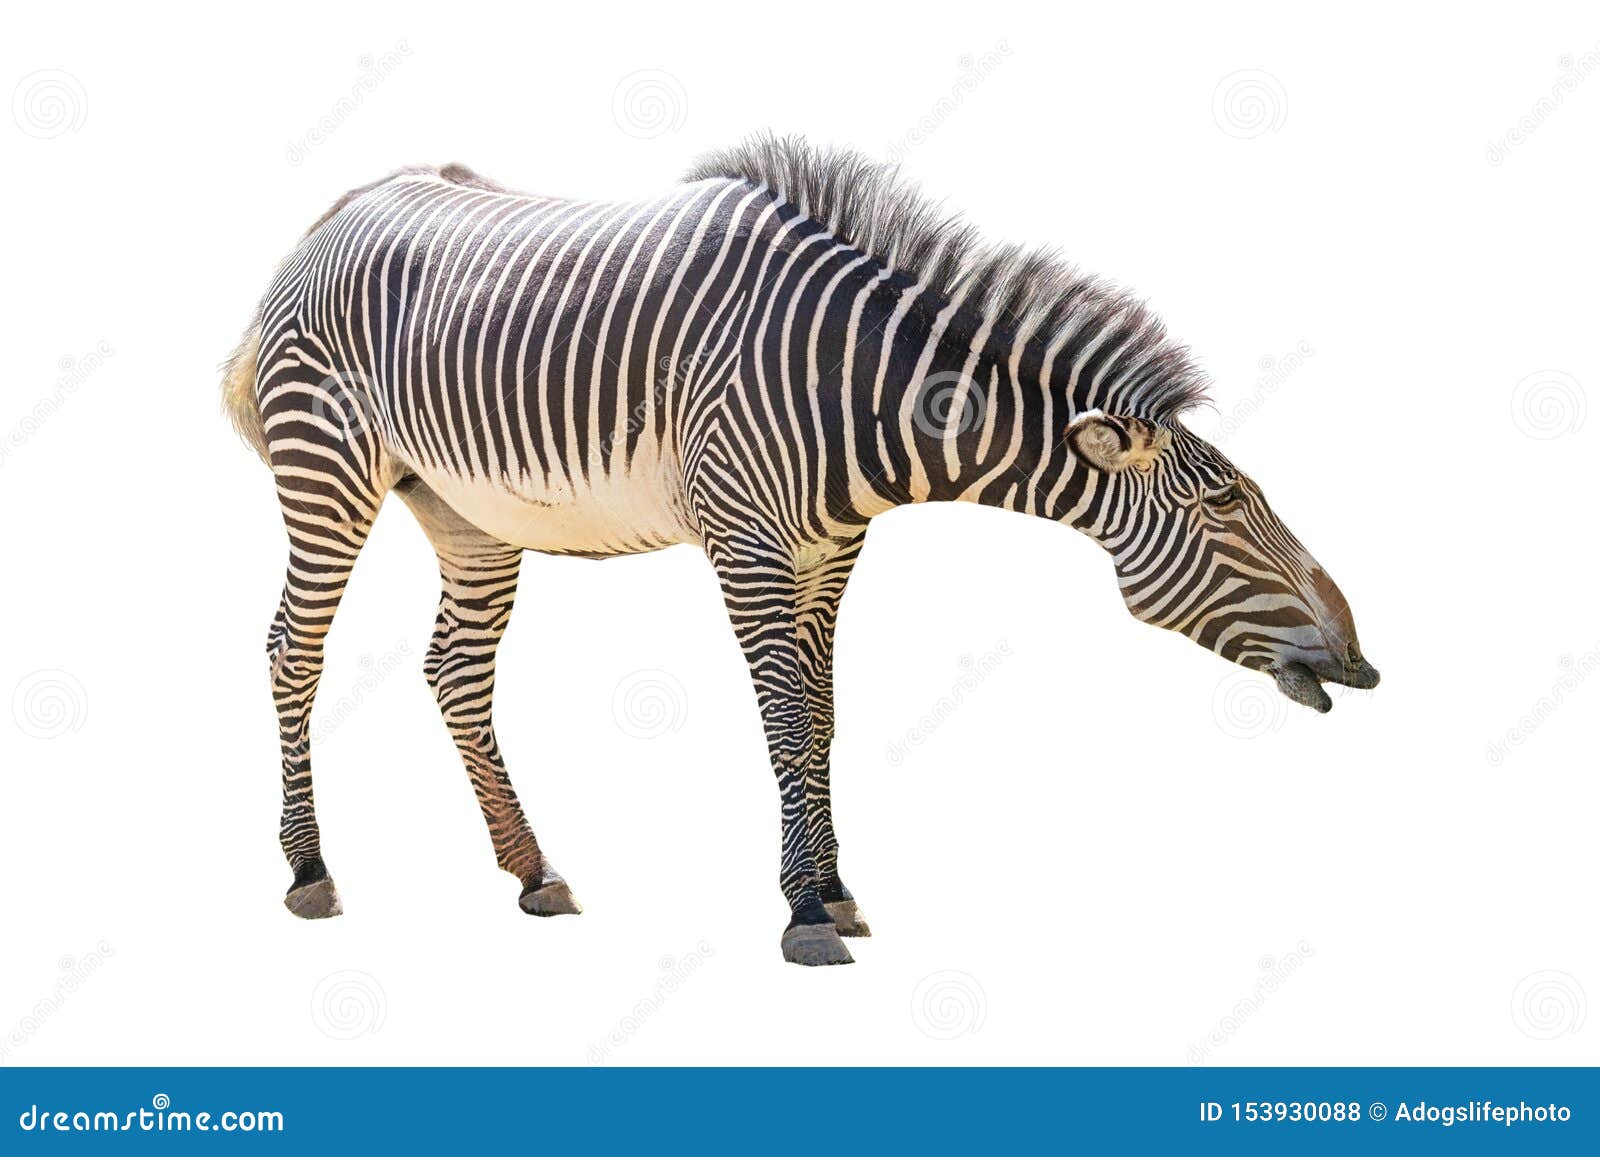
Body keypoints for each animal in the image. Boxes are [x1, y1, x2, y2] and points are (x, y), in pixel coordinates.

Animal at [222, 135, 1378, 966]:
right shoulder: (748, 542)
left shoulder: (831, 551)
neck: (865, 393)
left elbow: (821, 718)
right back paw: (309, 870)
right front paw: (804, 913)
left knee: (455, 670)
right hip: (326, 467)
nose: (1361, 661)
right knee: (292, 649)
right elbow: (783, 721)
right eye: (1226, 507)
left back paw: (533, 871)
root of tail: (338, 213)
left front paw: (837, 890)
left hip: (463, 508)